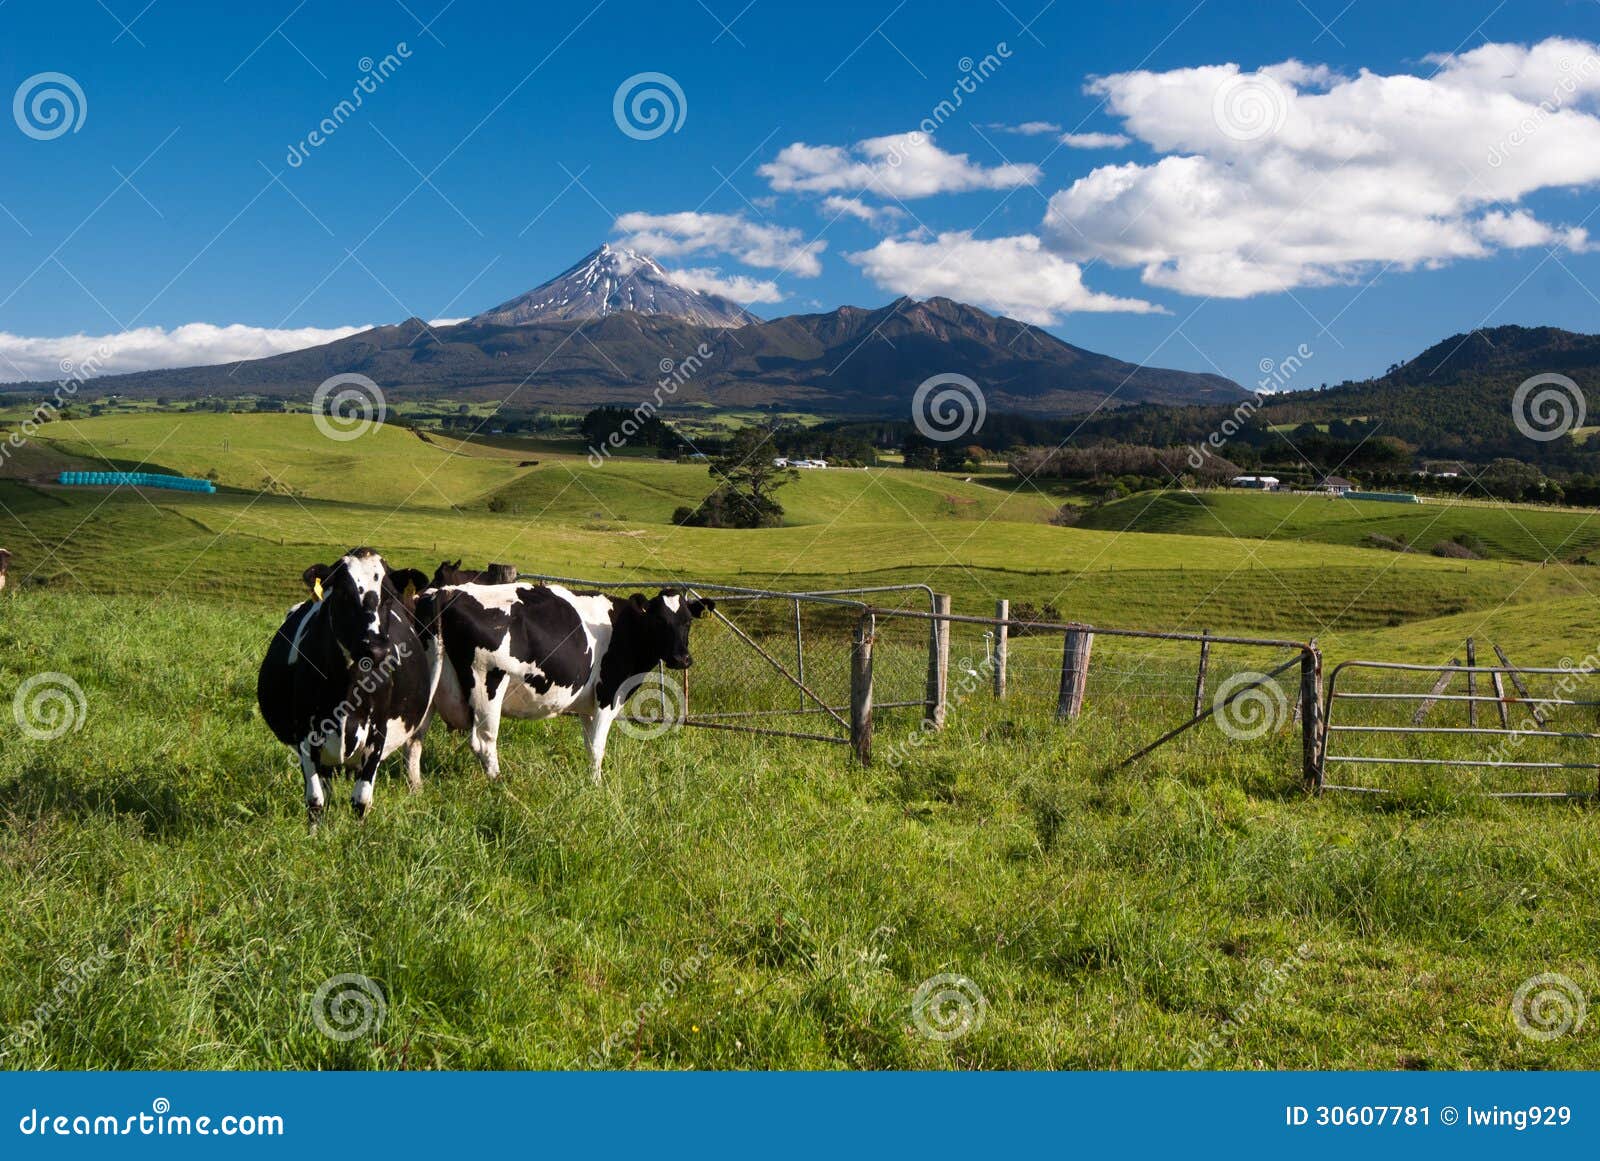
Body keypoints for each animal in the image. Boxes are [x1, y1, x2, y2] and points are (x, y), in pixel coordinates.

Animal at [256, 548, 439, 824]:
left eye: (388, 597)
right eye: (343, 593)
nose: (376, 649)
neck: (348, 687)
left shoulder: (378, 731)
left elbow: (361, 800)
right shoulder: (306, 734)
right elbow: (315, 801)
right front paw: (316, 833)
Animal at [427, 582, 714, 783]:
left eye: (688, 621)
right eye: (659, 620)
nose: (681, 658)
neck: (627, 628)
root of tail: (447, 592)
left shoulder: (588, 706)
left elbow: (589, 745)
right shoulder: (608, 696)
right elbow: (598, 747)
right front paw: (597, 786)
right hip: (488, 684)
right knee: (484, 741)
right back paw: (498, 781)